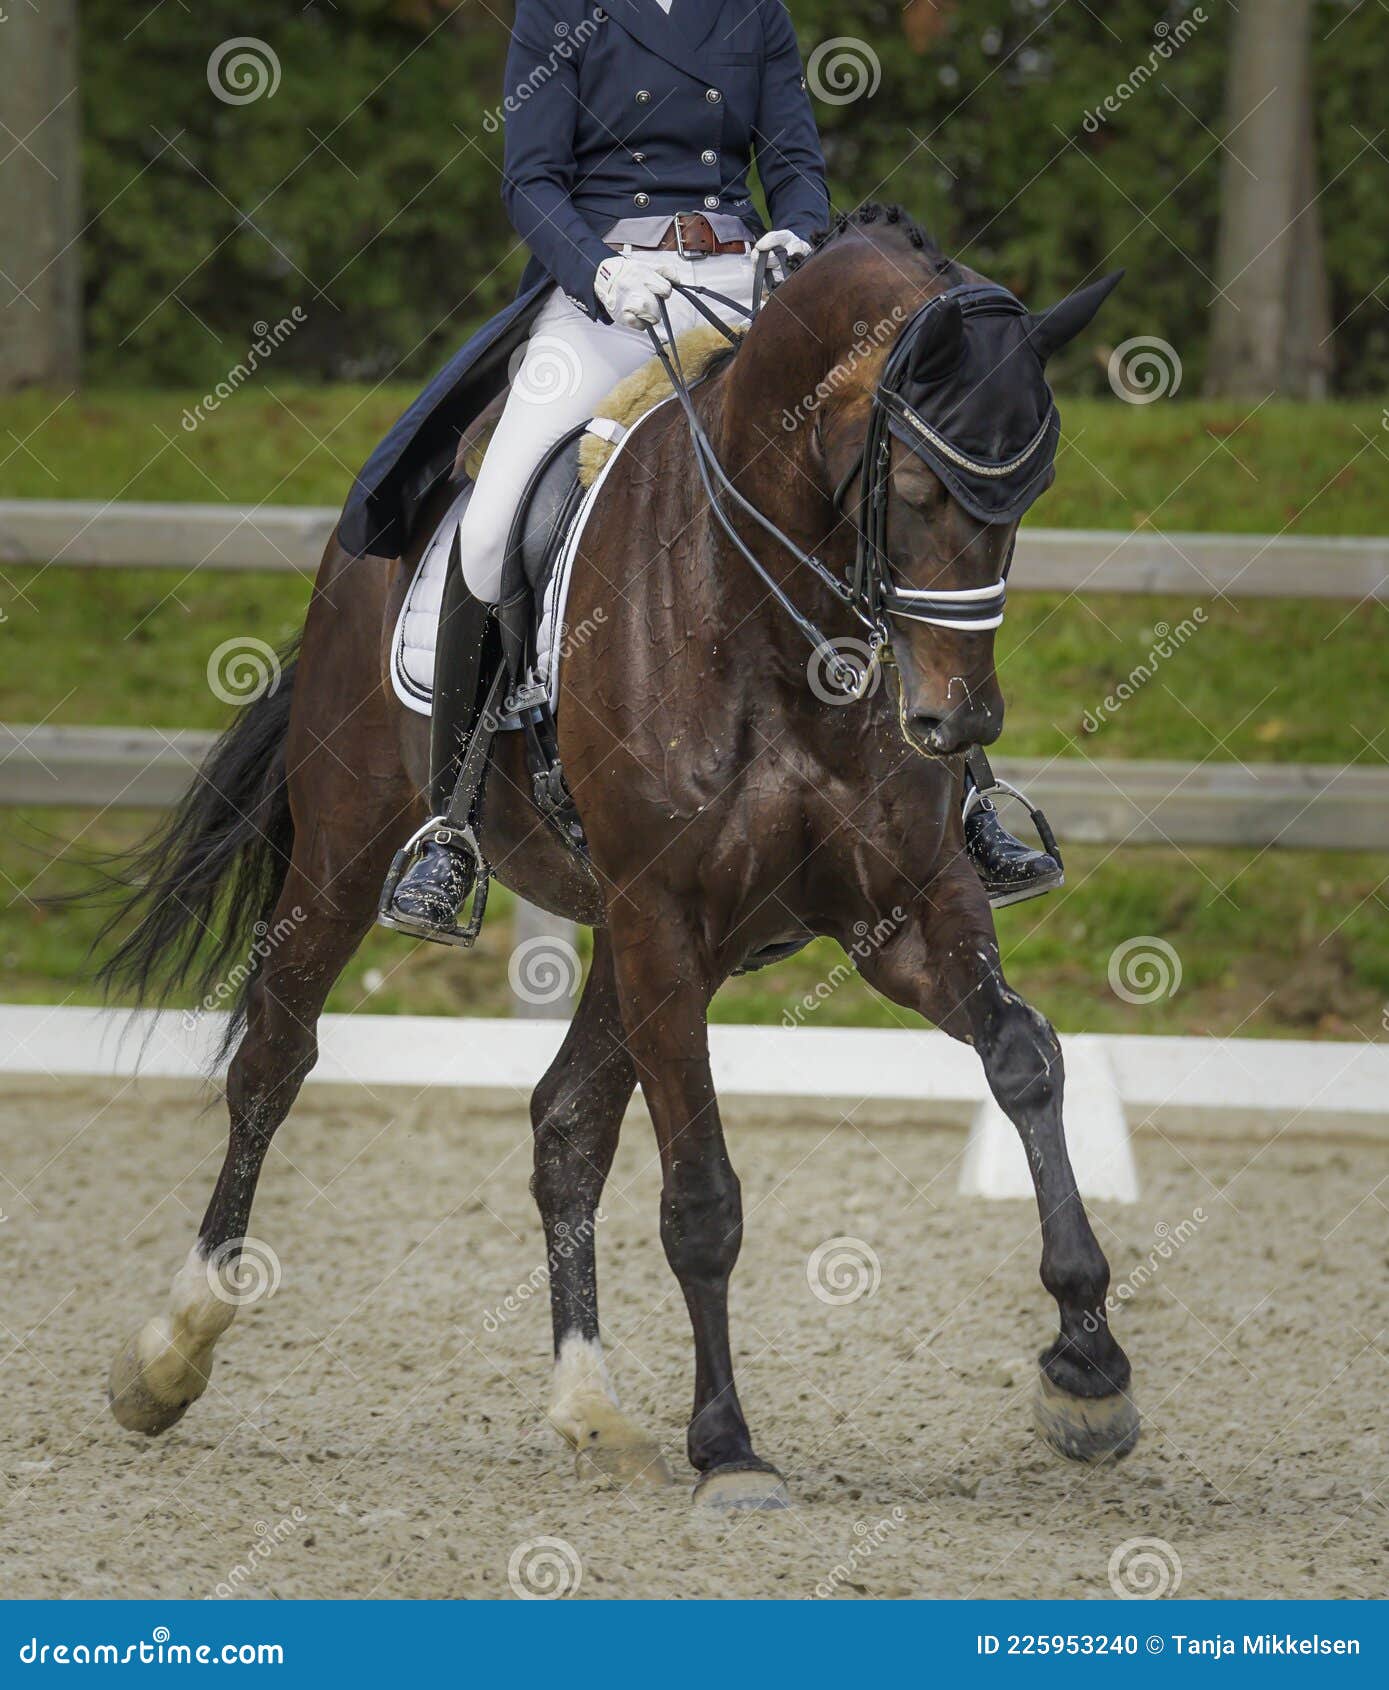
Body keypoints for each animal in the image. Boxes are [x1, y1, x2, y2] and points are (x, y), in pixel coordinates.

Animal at [98, 204, 1138, 1509]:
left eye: (1028, 494)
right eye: (909, 485)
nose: (958, 724)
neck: (768, 617)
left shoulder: (899, 907)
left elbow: (1026, 1060)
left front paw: (1088, 1365)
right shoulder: (662, 913)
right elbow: (702, 1195)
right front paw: (729, 1445)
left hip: (660, 937)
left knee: (566, 1123)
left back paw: (590, 1404)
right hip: (350, 854)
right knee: (274, 1063)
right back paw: (169, 1355)